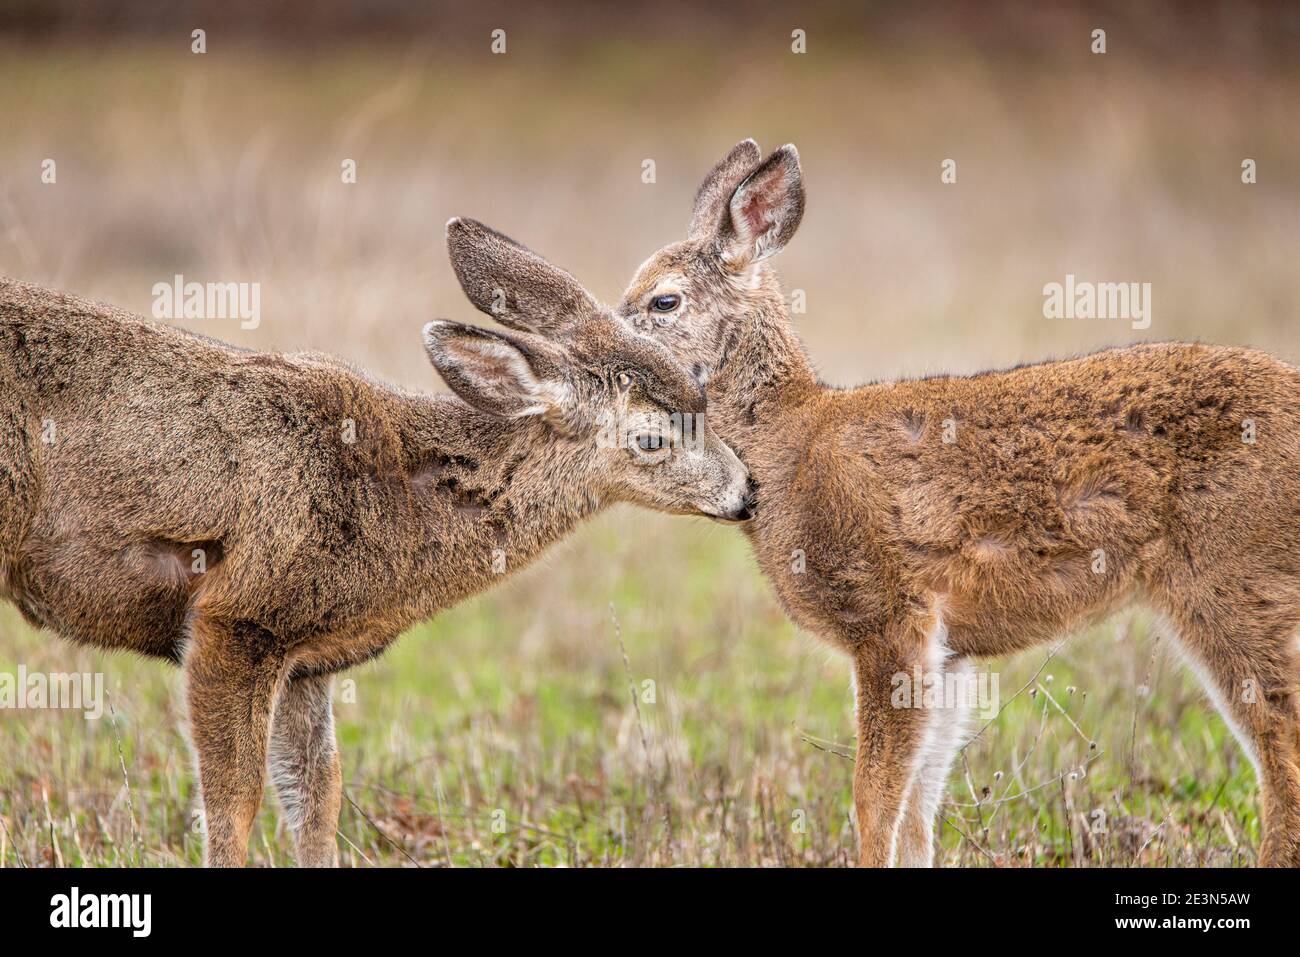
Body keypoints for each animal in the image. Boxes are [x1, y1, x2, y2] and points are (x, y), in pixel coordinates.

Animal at [0, 248, 752, 867]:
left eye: (702, 388)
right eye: (652, 436)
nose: (747, 491)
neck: (394, 495)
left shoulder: (305, 657)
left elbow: (317, 799)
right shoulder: (236, 617)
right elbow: (233, 805)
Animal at [453, 142, 1300, 867]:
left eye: (663, 300)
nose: (617, 355)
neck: (791, 443)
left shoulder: (890, 616)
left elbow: (873, 799)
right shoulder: (948, 647)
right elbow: (920, 806)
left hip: (1235, 578)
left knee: (1282, 744)